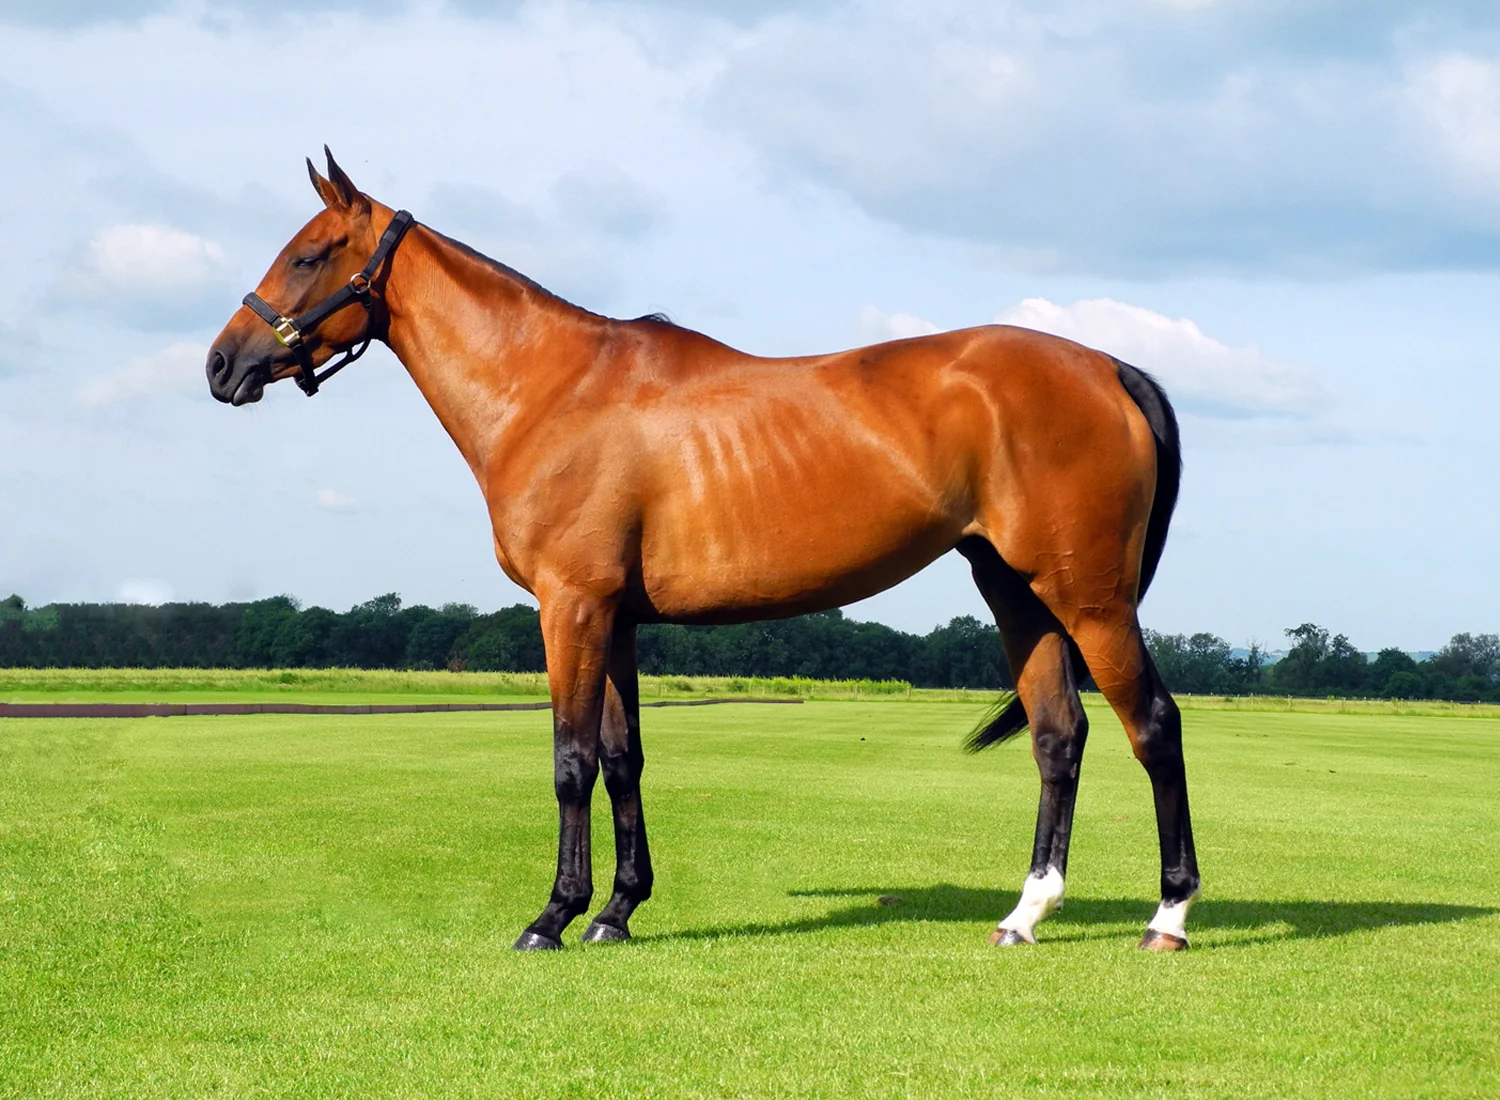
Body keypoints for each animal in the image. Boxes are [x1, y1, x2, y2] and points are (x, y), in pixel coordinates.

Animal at [207, 149, 1201, 952]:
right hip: (1017, 591)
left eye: (307, 255)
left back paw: (1168, 917)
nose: (221, 364)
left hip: (1091, 598)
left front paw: (552, 916)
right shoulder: (614, 617)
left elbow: (570, 760)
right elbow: (621, 759)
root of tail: (1109, 367)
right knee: (1058, 736)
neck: (553, 389)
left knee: (1153, 725)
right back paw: (1025, 915)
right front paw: (615, 911)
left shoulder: (570, 605)